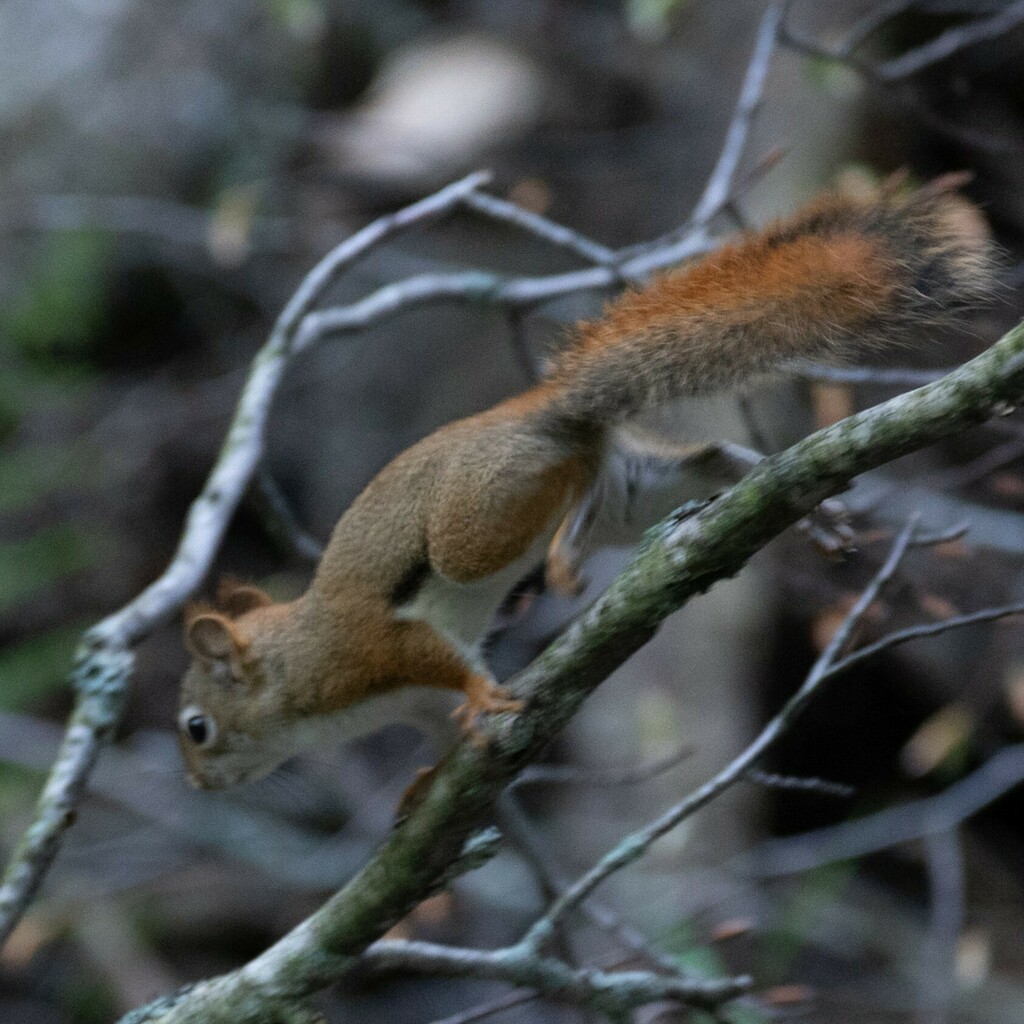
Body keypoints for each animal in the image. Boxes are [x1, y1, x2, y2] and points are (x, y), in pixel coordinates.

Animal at [177, 180, 993, 793]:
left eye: (197, 727)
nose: (199, 784)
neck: (294, 670)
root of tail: (546, 410)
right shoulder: (412, 700)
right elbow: (441, 734)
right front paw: (423, 787)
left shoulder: (364, 650)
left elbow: (439, 659)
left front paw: (479, 703)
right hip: (638, 497)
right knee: (702, 459)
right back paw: (787, 499)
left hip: (475, 523)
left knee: (571, 484)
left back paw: (567, 551)